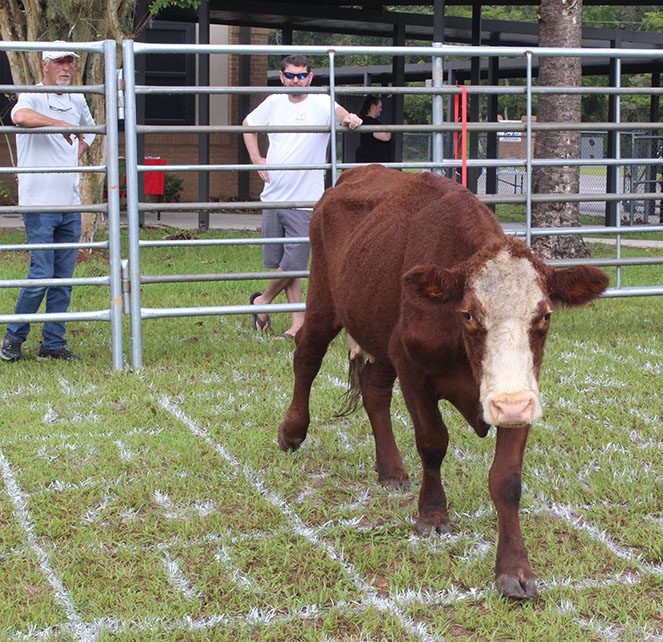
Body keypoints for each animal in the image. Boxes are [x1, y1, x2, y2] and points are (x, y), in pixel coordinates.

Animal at [277, 165, 609, 599]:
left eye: (545, 315)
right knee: (307, 358)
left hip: (381, 336)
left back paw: (391, 470)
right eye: (468, 314)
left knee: (374, 389)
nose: (509, 405)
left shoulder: (519, 388)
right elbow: (433, 443)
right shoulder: (413, 369)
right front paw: (433, 514)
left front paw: (514, 568)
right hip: (324, 301)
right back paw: (292, 432)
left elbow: (507, 477)